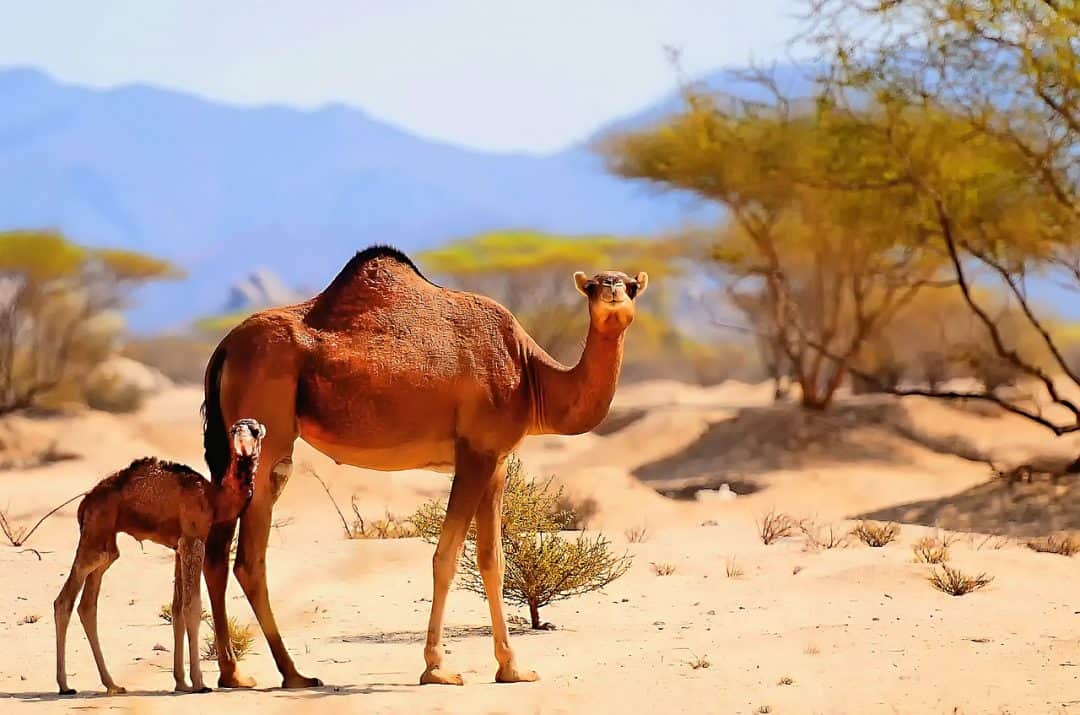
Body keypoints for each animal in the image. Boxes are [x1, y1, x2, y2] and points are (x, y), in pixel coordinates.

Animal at [54, 419, 266, 696]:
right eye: (234, 430)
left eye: (255, 430)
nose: (242, 440)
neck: (214, 499)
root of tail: (85, 503)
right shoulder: (193, 539)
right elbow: (192, 607)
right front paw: (199, 683)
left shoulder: (178, 546)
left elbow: (177, 610)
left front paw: (181, 683)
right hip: (95, 534)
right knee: (64, 601)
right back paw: (65, 685)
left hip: (105, 542)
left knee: (87, 605)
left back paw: (112, 684)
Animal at [202, 245, 648, 688]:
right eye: (591, 286)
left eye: (630, 286)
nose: (612, 290)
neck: (529, 373)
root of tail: (224, 348)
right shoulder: (475, 454)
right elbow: (446, 557)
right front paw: (438, 668)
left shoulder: (497, 462)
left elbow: (493, 560)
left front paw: (512, 668)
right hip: (268, 435)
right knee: (249, 558)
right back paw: (290, 673)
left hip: (233, 449)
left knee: (217, 552)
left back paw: (234, 673)